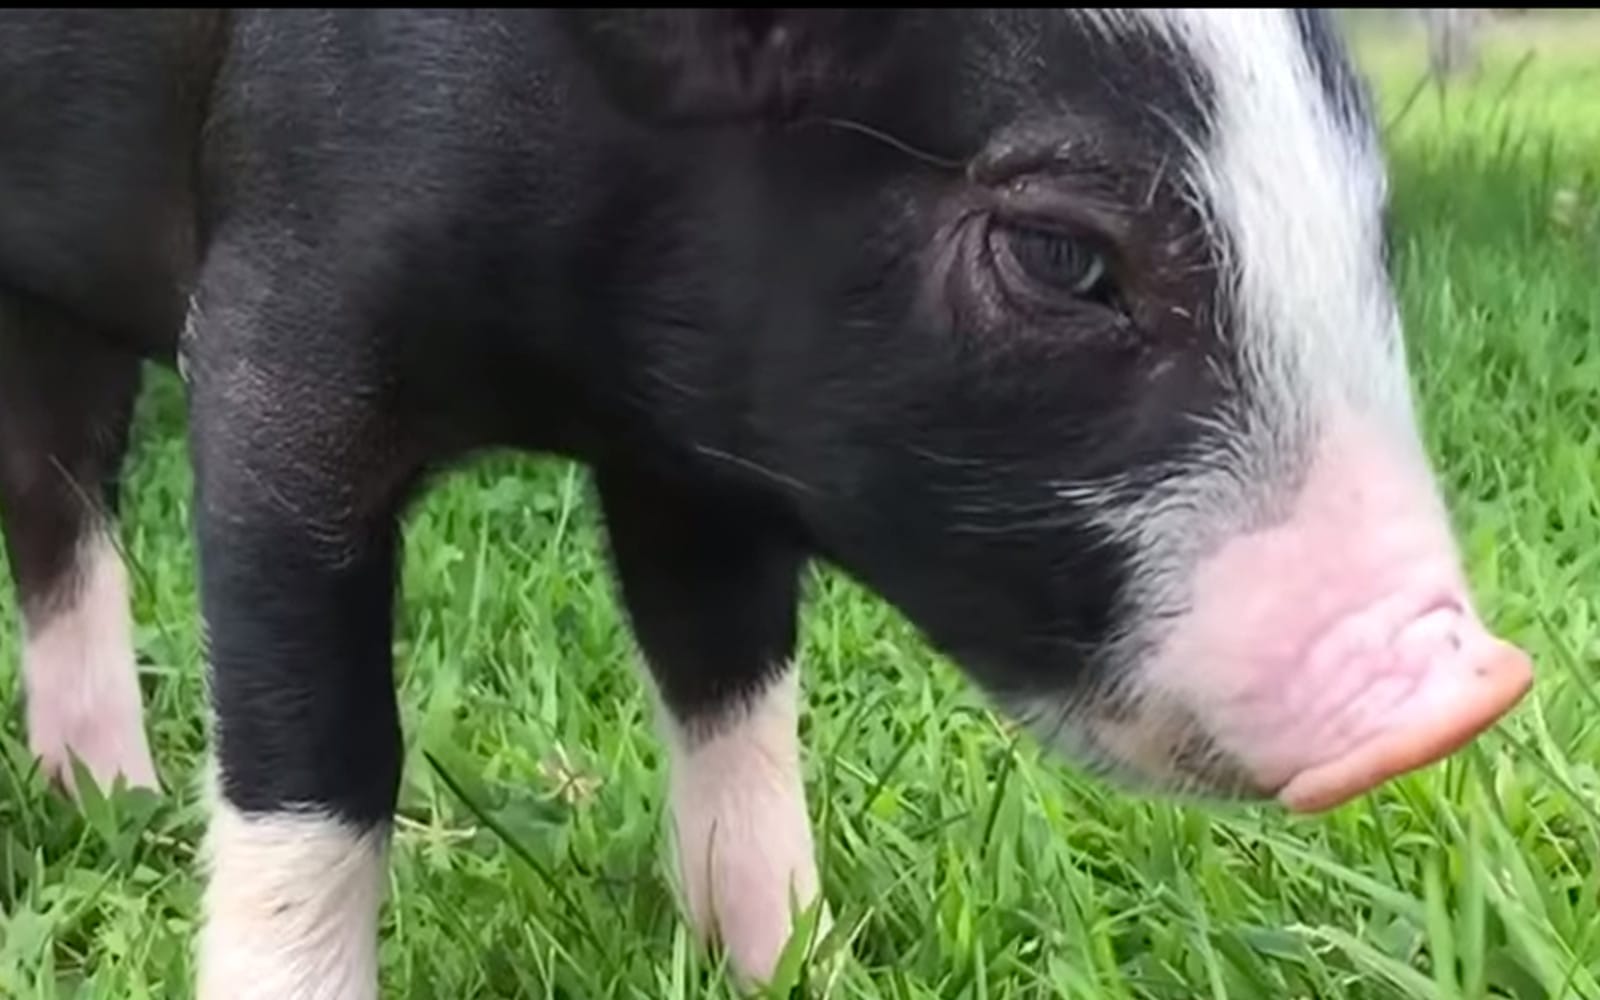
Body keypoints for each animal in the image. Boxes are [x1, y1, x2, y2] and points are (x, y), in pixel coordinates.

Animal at [0, 9, 1532, 997]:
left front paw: (796, 964)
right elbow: (319, 749)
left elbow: (732, 680)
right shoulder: (276, 338)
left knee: (56, 495)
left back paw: (110, 801)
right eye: (1059, 253)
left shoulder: (693, 454)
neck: (562, 370)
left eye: (1368, 221)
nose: (1470, 684)